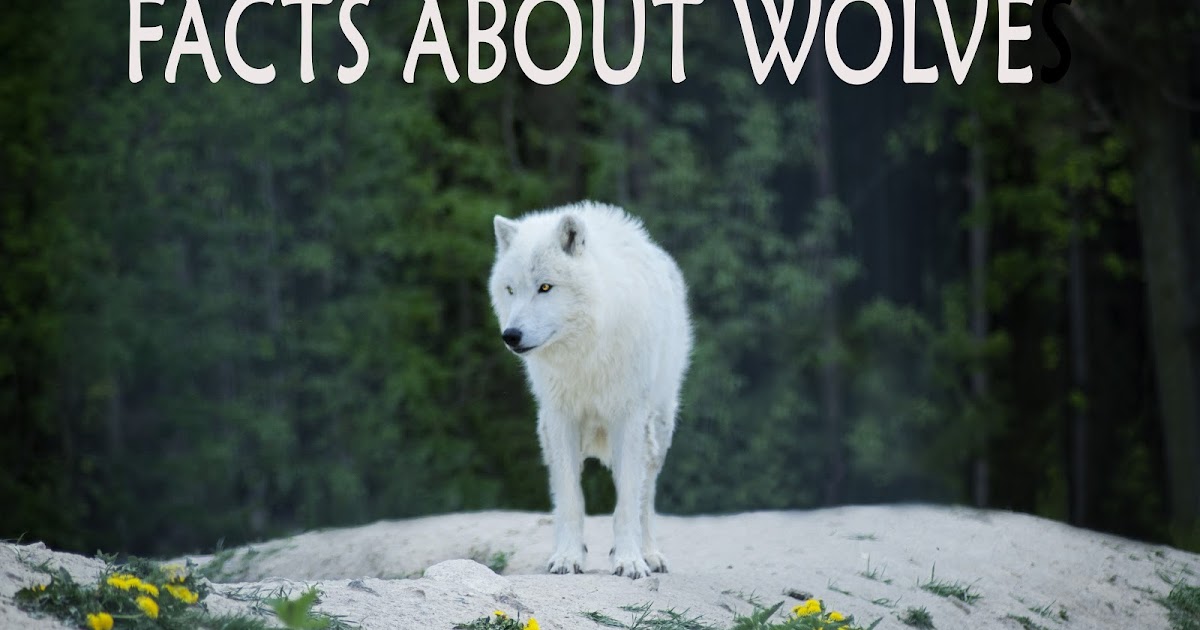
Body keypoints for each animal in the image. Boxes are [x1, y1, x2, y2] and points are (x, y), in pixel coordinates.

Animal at [488, 201, 692, 579]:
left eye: (545, 287)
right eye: (510, 290)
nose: (510, 336)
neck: (584, 352)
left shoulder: (628, 417)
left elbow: (627, 502)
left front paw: (629, 560)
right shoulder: (560, 418)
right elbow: (571, 499)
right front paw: (568, 558)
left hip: (657, 429)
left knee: (646, 496)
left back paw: (650, 554)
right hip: (547, 433)